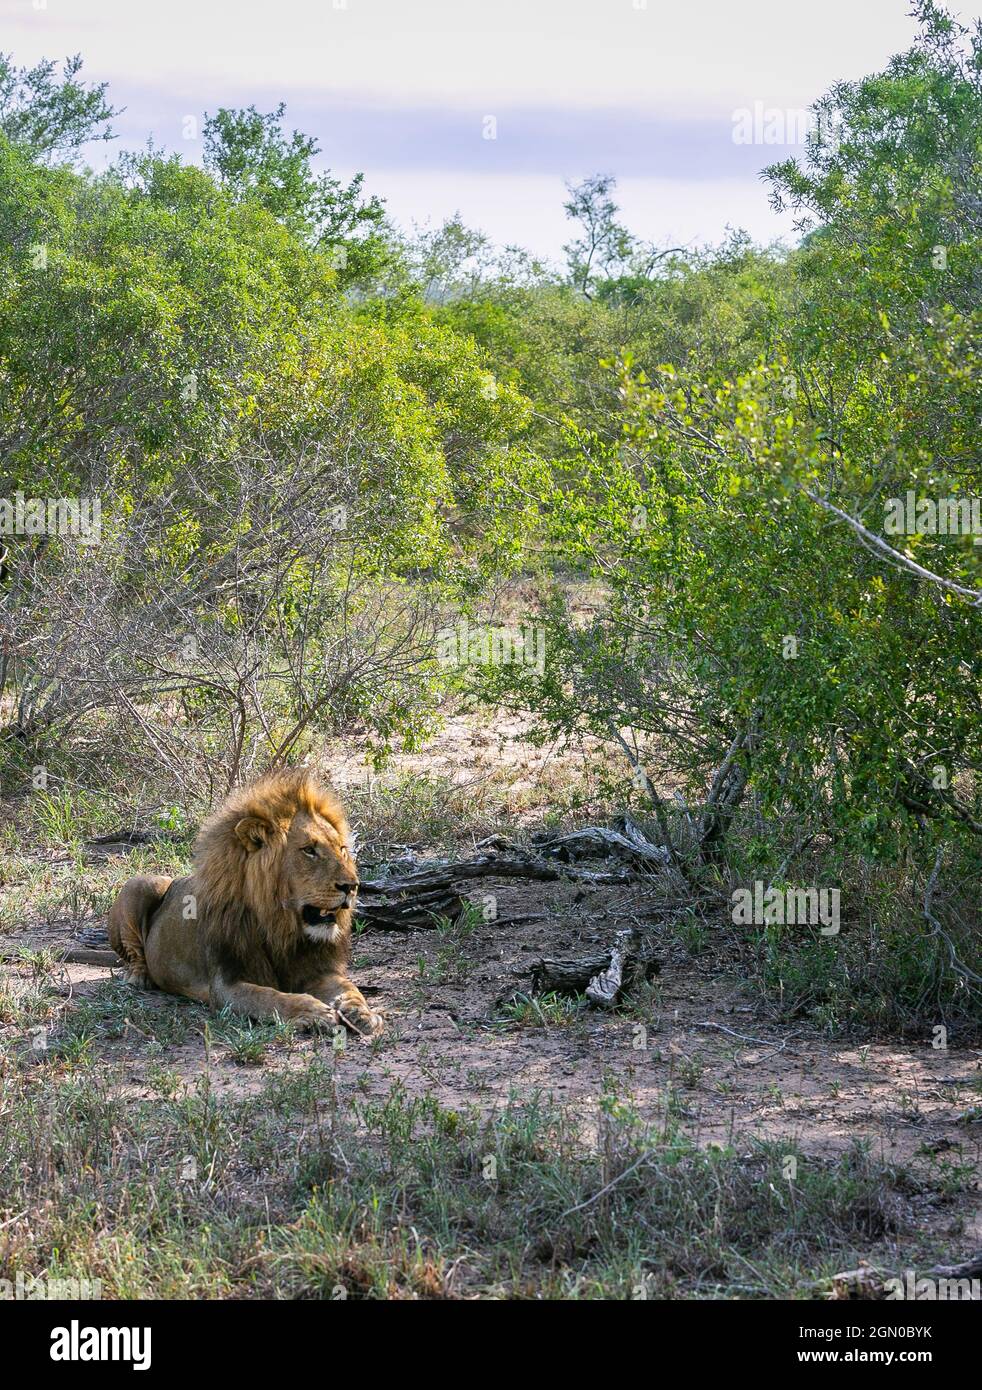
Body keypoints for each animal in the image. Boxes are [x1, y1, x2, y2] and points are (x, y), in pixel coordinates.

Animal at [108, 768, 381, 1037]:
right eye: (309, 850)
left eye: (342, 849)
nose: (352, 886)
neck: (280, 926)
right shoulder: (225, 986)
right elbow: (270, 998)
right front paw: (312, 1012)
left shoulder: (318, 970)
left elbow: (349, 988)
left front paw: (363, 1013)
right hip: (140, 884)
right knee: (133, 953)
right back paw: (138, 976)